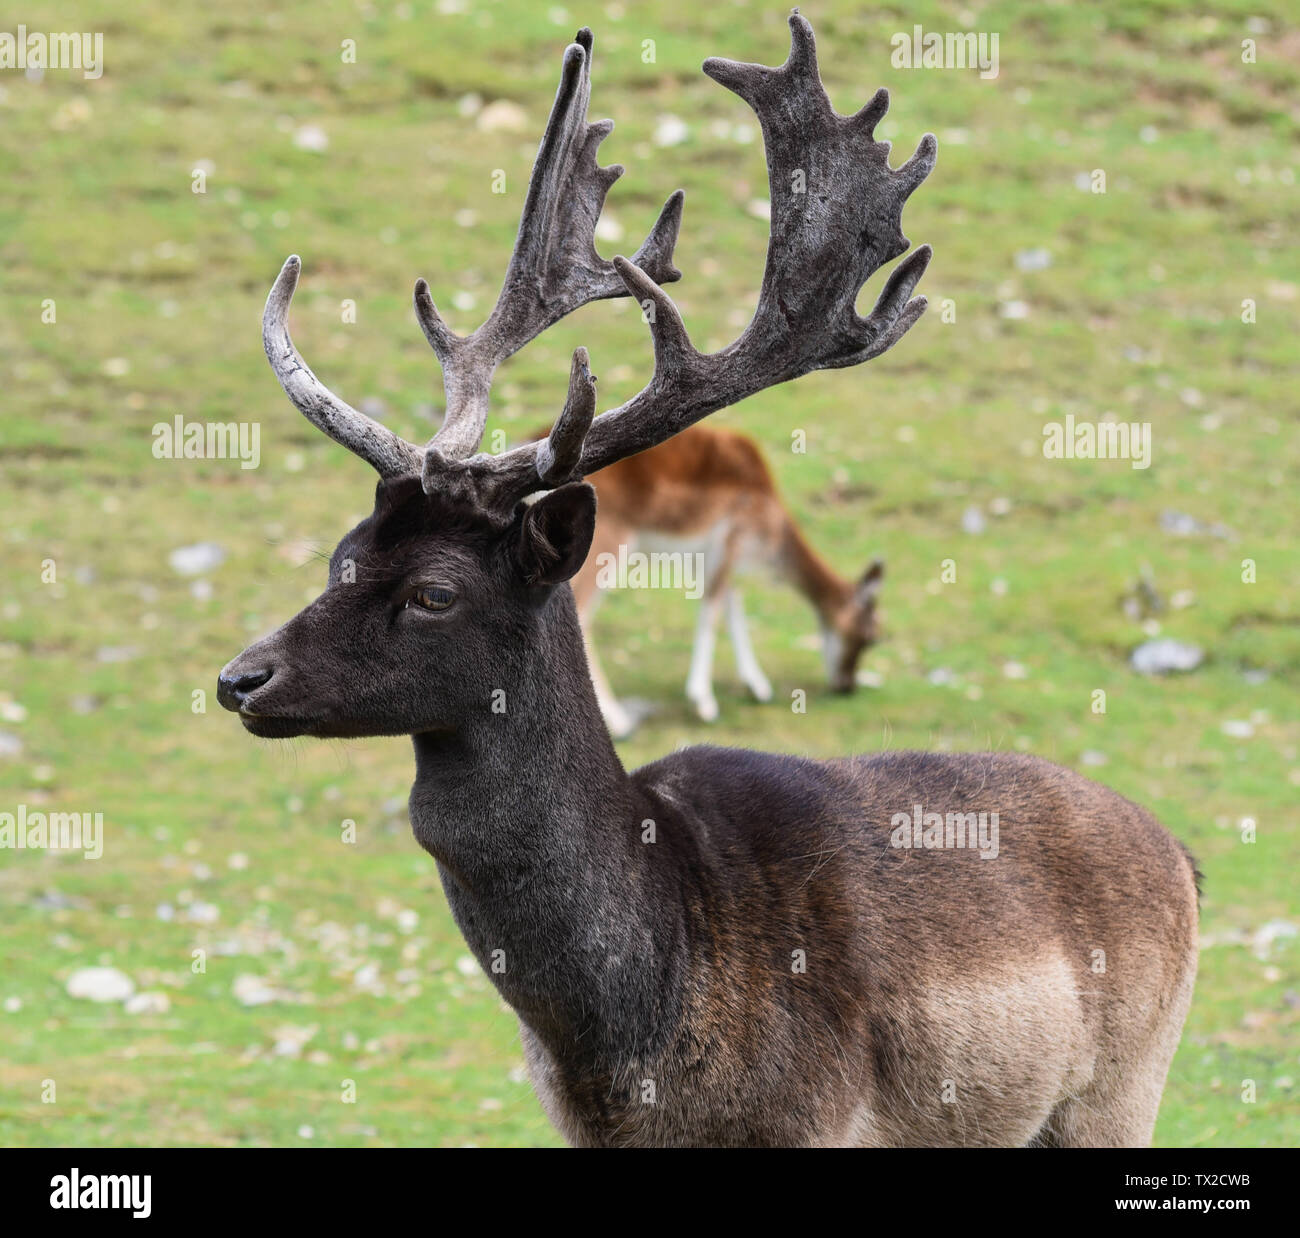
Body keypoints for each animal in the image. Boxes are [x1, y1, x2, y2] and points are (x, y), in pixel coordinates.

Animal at [564, 422, 886, 736]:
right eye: (869, 637)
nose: (847, 687)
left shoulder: (711, 557)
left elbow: (733, 610)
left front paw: (758, 687)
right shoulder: (732, 539)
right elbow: (713, 612)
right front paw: (704, 702)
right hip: (608, 541)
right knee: (582, 610)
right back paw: (619, 721)